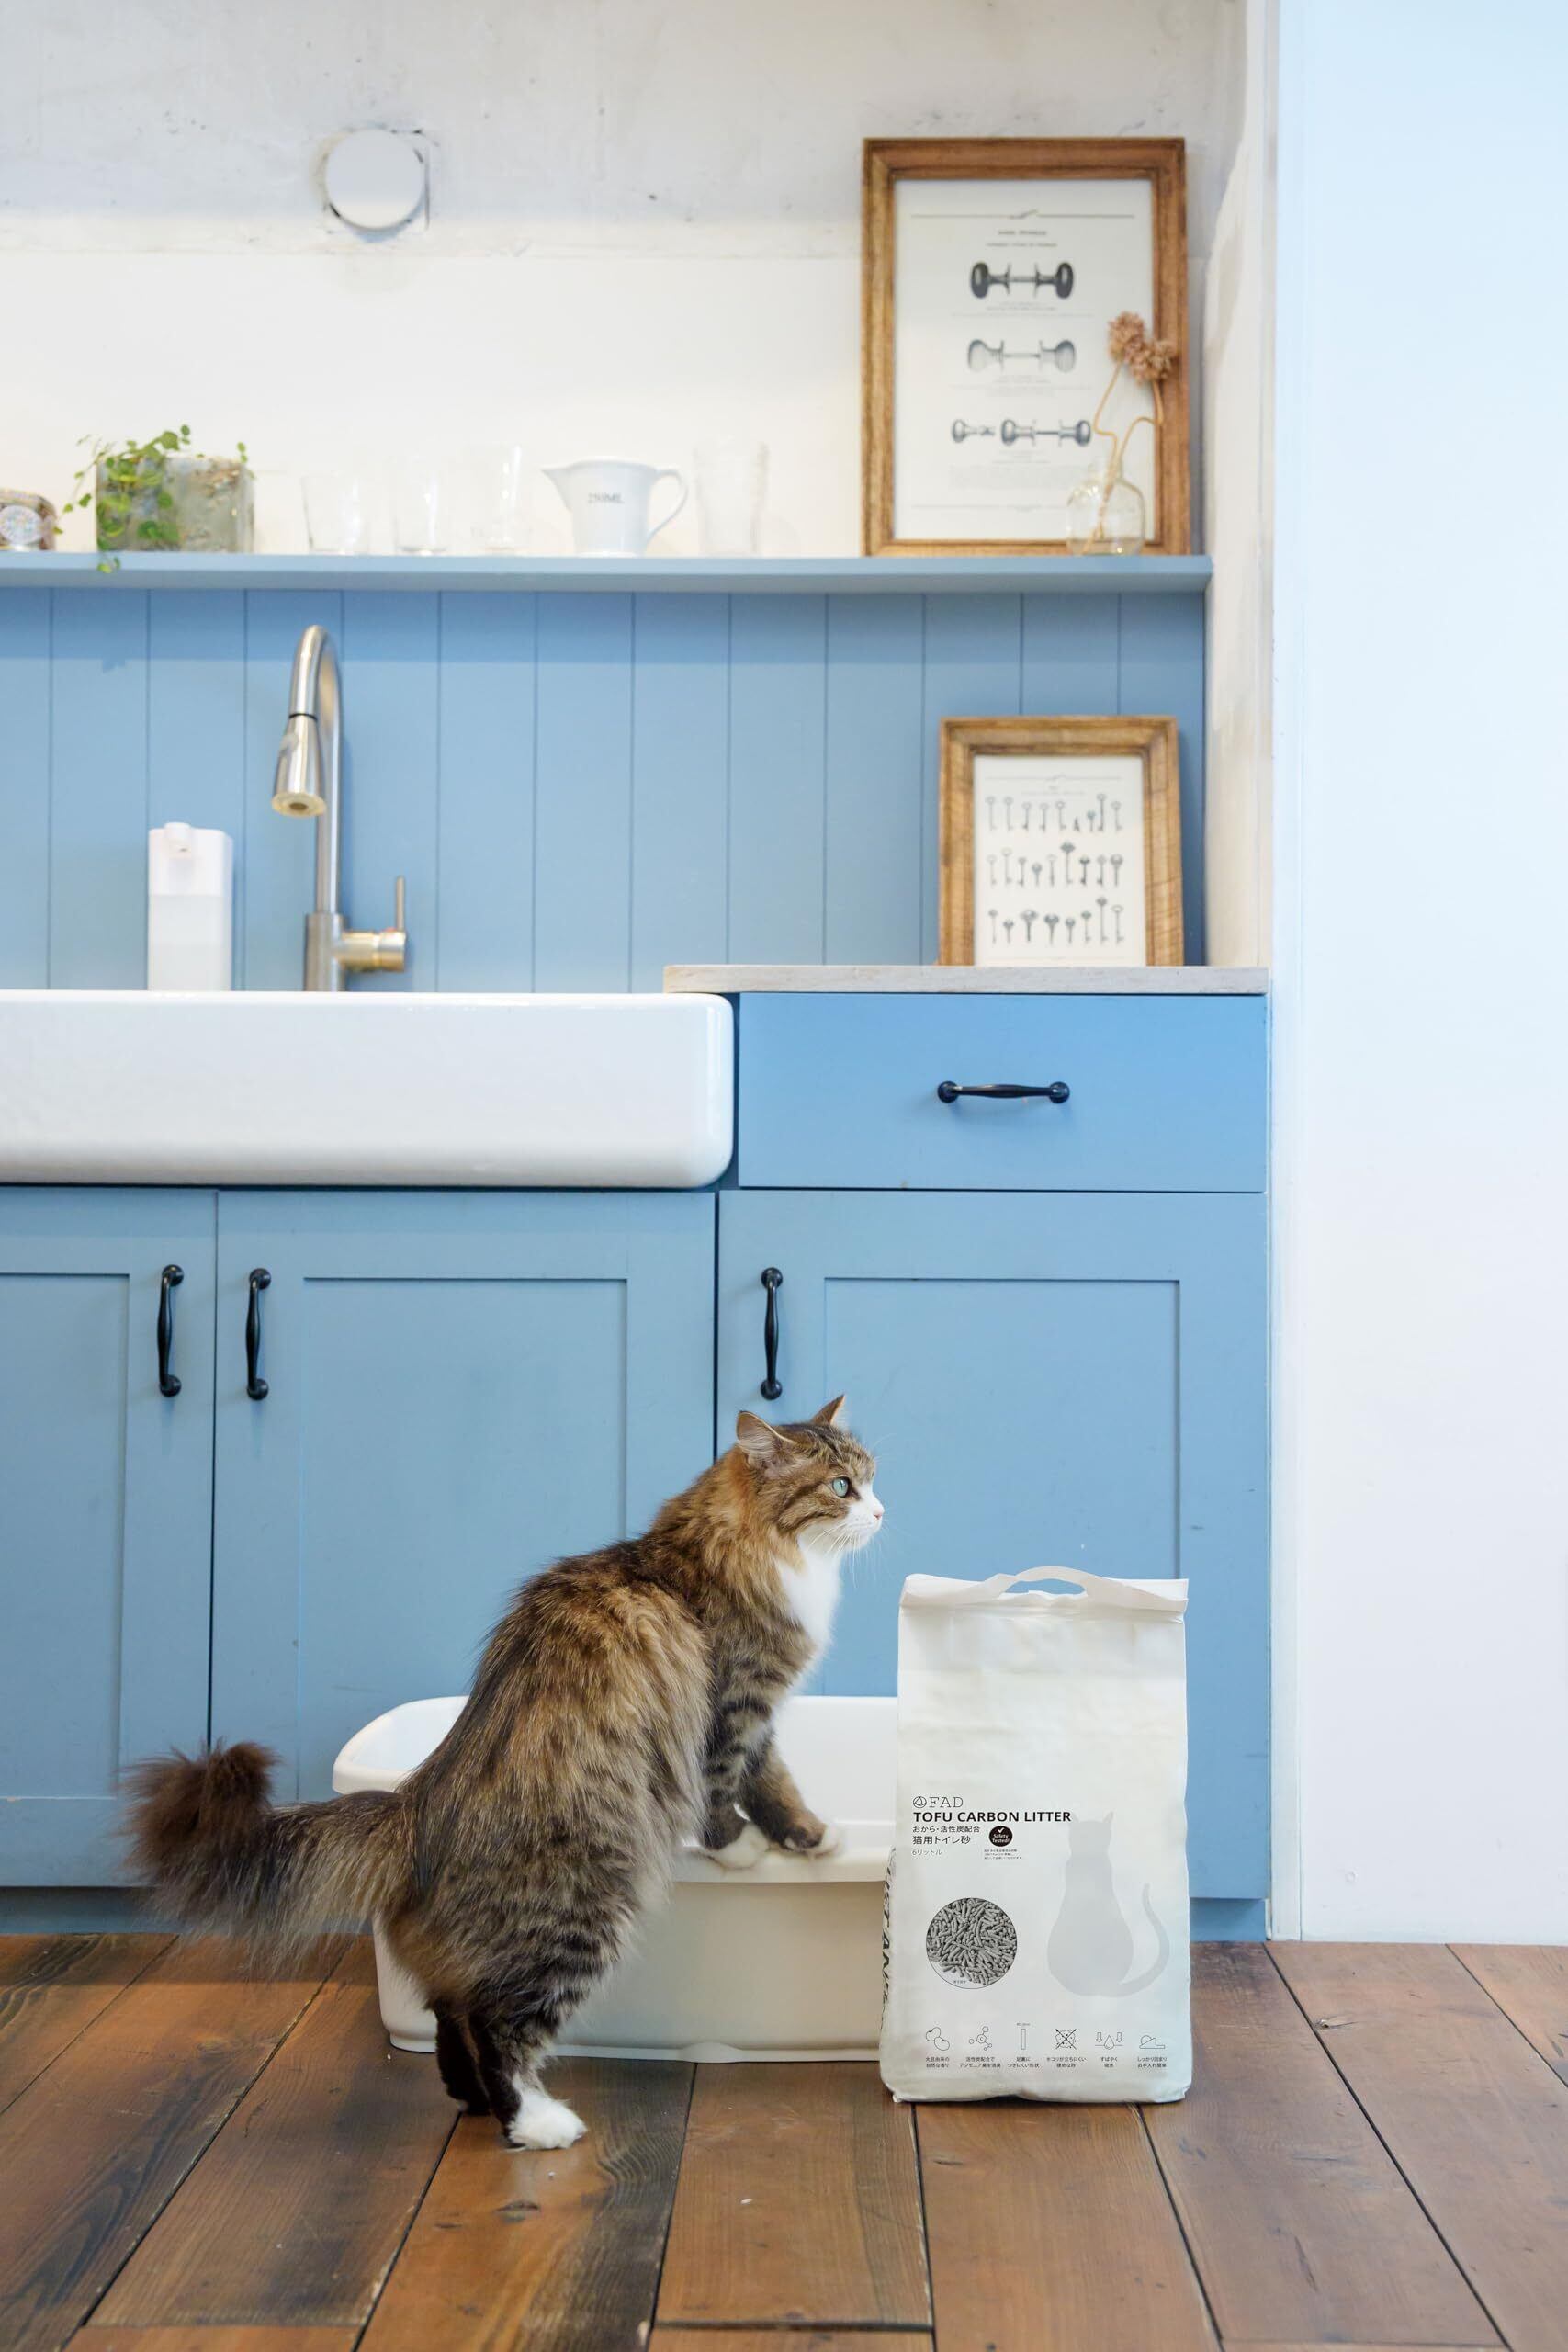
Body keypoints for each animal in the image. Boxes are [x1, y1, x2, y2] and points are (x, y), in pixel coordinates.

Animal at [127, 1398, 882, 2150]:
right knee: (498, 2026)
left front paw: (812, 1837)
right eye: (842, 1487)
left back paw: (471, 2099)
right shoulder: (734, 1701)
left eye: (871, 1478)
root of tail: (416, 1808)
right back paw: (536, 2122)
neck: (721, 1550)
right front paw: (743, 1848)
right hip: (581, 1913)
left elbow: (775, 1782)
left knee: (450, 2012)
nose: (880, 1512)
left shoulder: (760, 1713)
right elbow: (734, 1786)